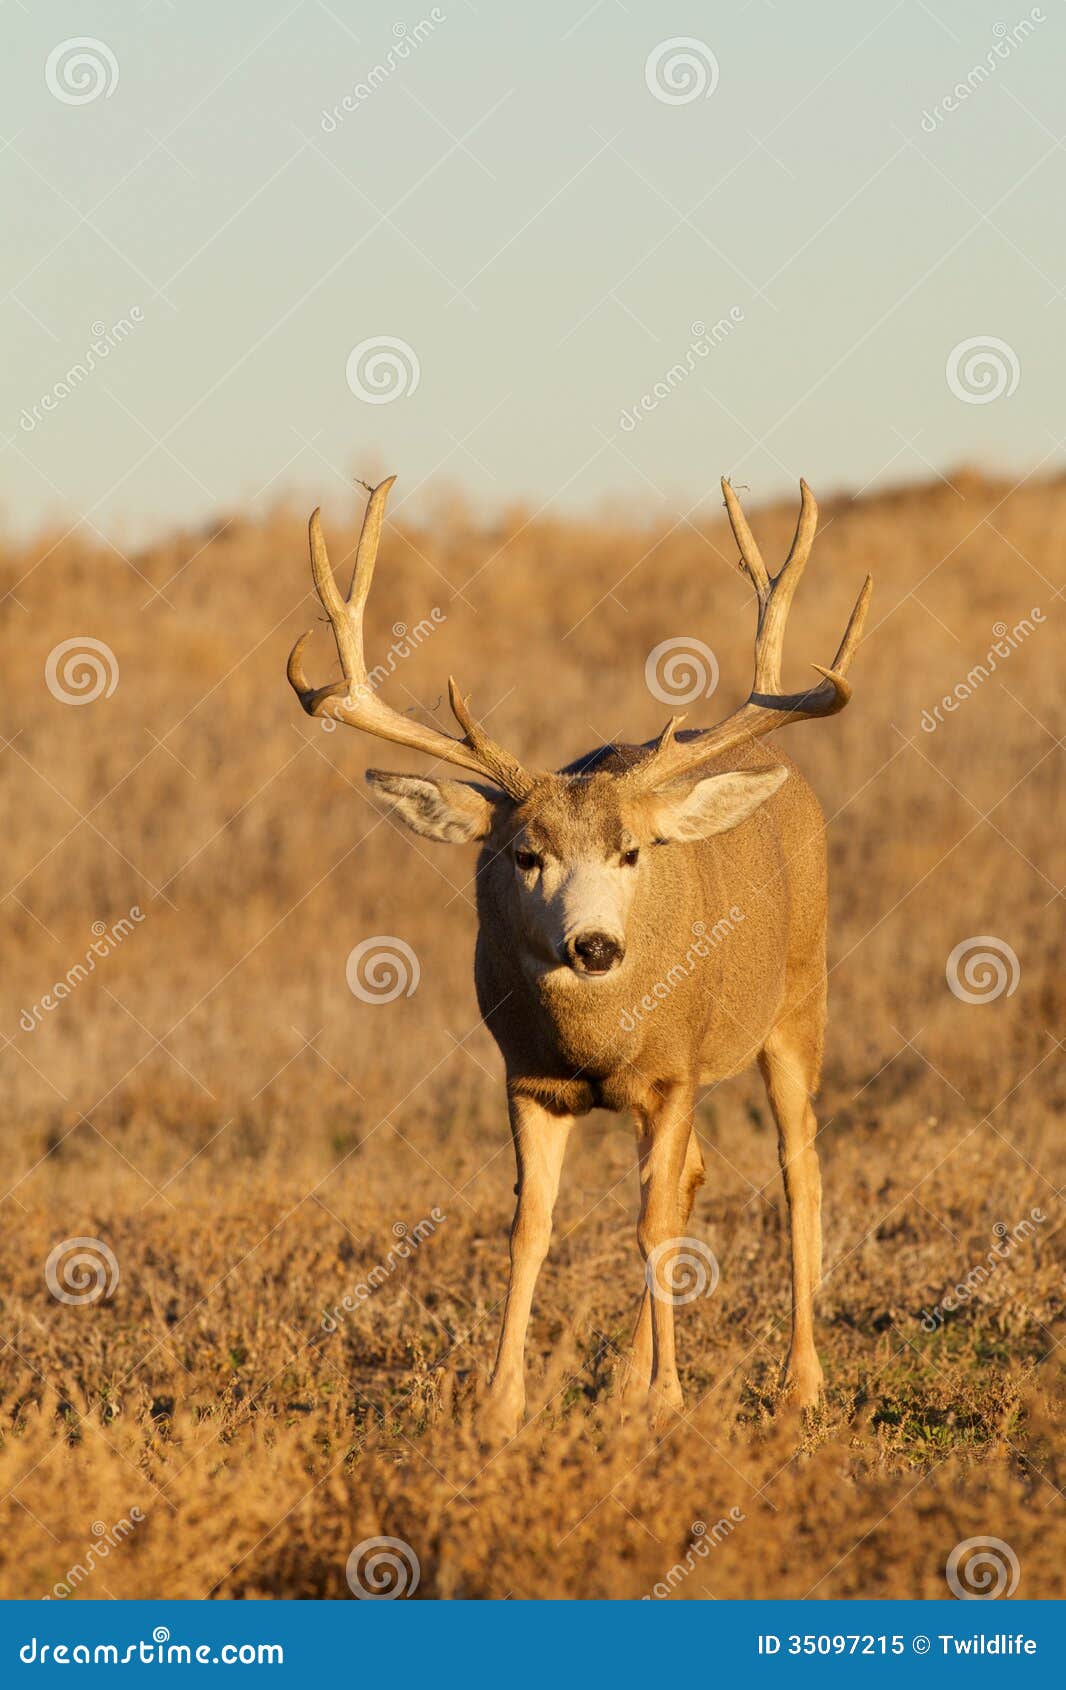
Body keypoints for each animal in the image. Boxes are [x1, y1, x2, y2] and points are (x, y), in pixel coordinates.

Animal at [288, 473, 871, 1440]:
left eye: (633, 852)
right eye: (525, 855)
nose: (594, 945)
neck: (597, 1044)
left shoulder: (673, 1069)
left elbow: (653, 1226)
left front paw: (671, 1399)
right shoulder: (524, 1073)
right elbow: (531, 1228)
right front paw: (501, 1404)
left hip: (800, 1003)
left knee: (801, 1172)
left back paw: (800, 1384)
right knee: (698, 1174)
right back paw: (631, 1379)